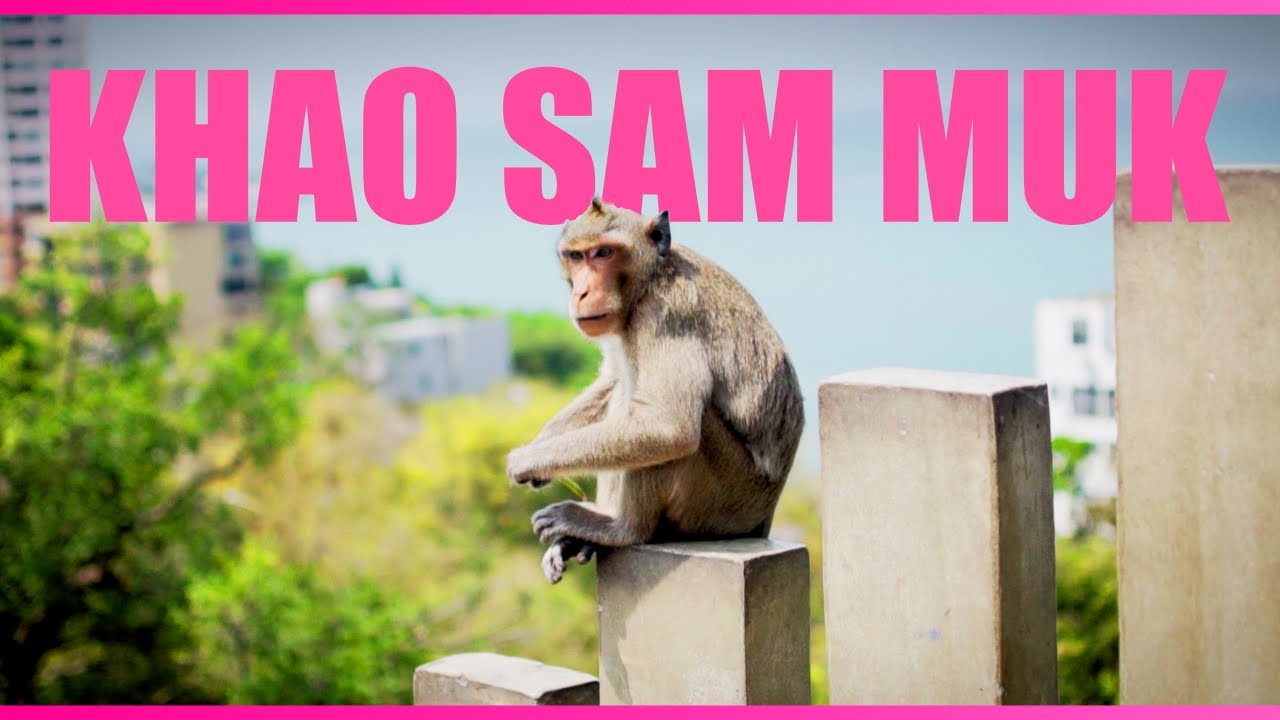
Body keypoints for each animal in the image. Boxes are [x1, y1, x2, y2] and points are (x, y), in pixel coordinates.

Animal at [506, 198, 804, 584]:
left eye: (604, 253)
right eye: (576, 256)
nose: (581, 292)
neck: (649, 281)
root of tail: (763, 519)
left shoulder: (667, 315)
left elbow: (667, 427)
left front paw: (526, 460)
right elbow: (612, 377)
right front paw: (540, 450)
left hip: (724, 504)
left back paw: (620, 529)